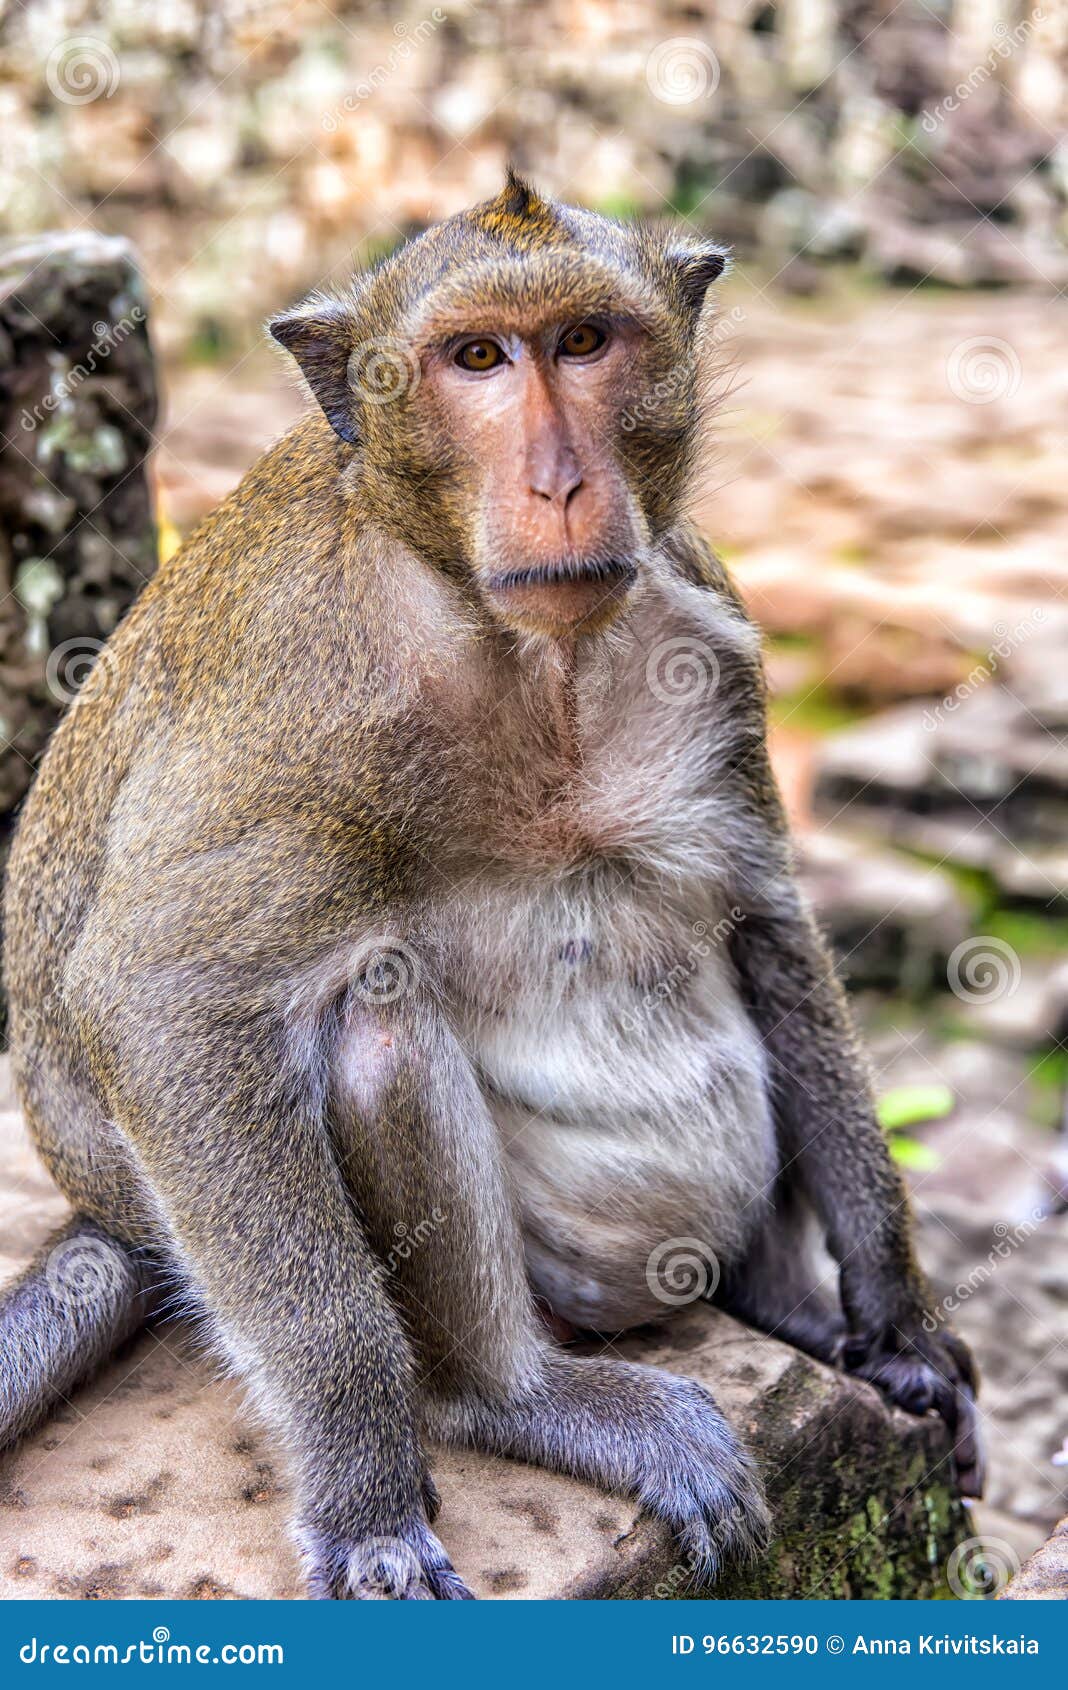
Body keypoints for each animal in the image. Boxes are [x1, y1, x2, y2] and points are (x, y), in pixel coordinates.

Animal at [0, 173, 981, 1601]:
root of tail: (102, 1208)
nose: (560, 479)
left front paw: (900, 1323)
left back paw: (781, 1304)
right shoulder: (304, 700)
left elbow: (765, 925)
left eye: (582, 342)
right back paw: (516, 1398)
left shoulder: (711, 618)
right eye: (475, 360)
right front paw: (366, 1497)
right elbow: (160, 998)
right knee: (372, 1021)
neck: (524, 647)